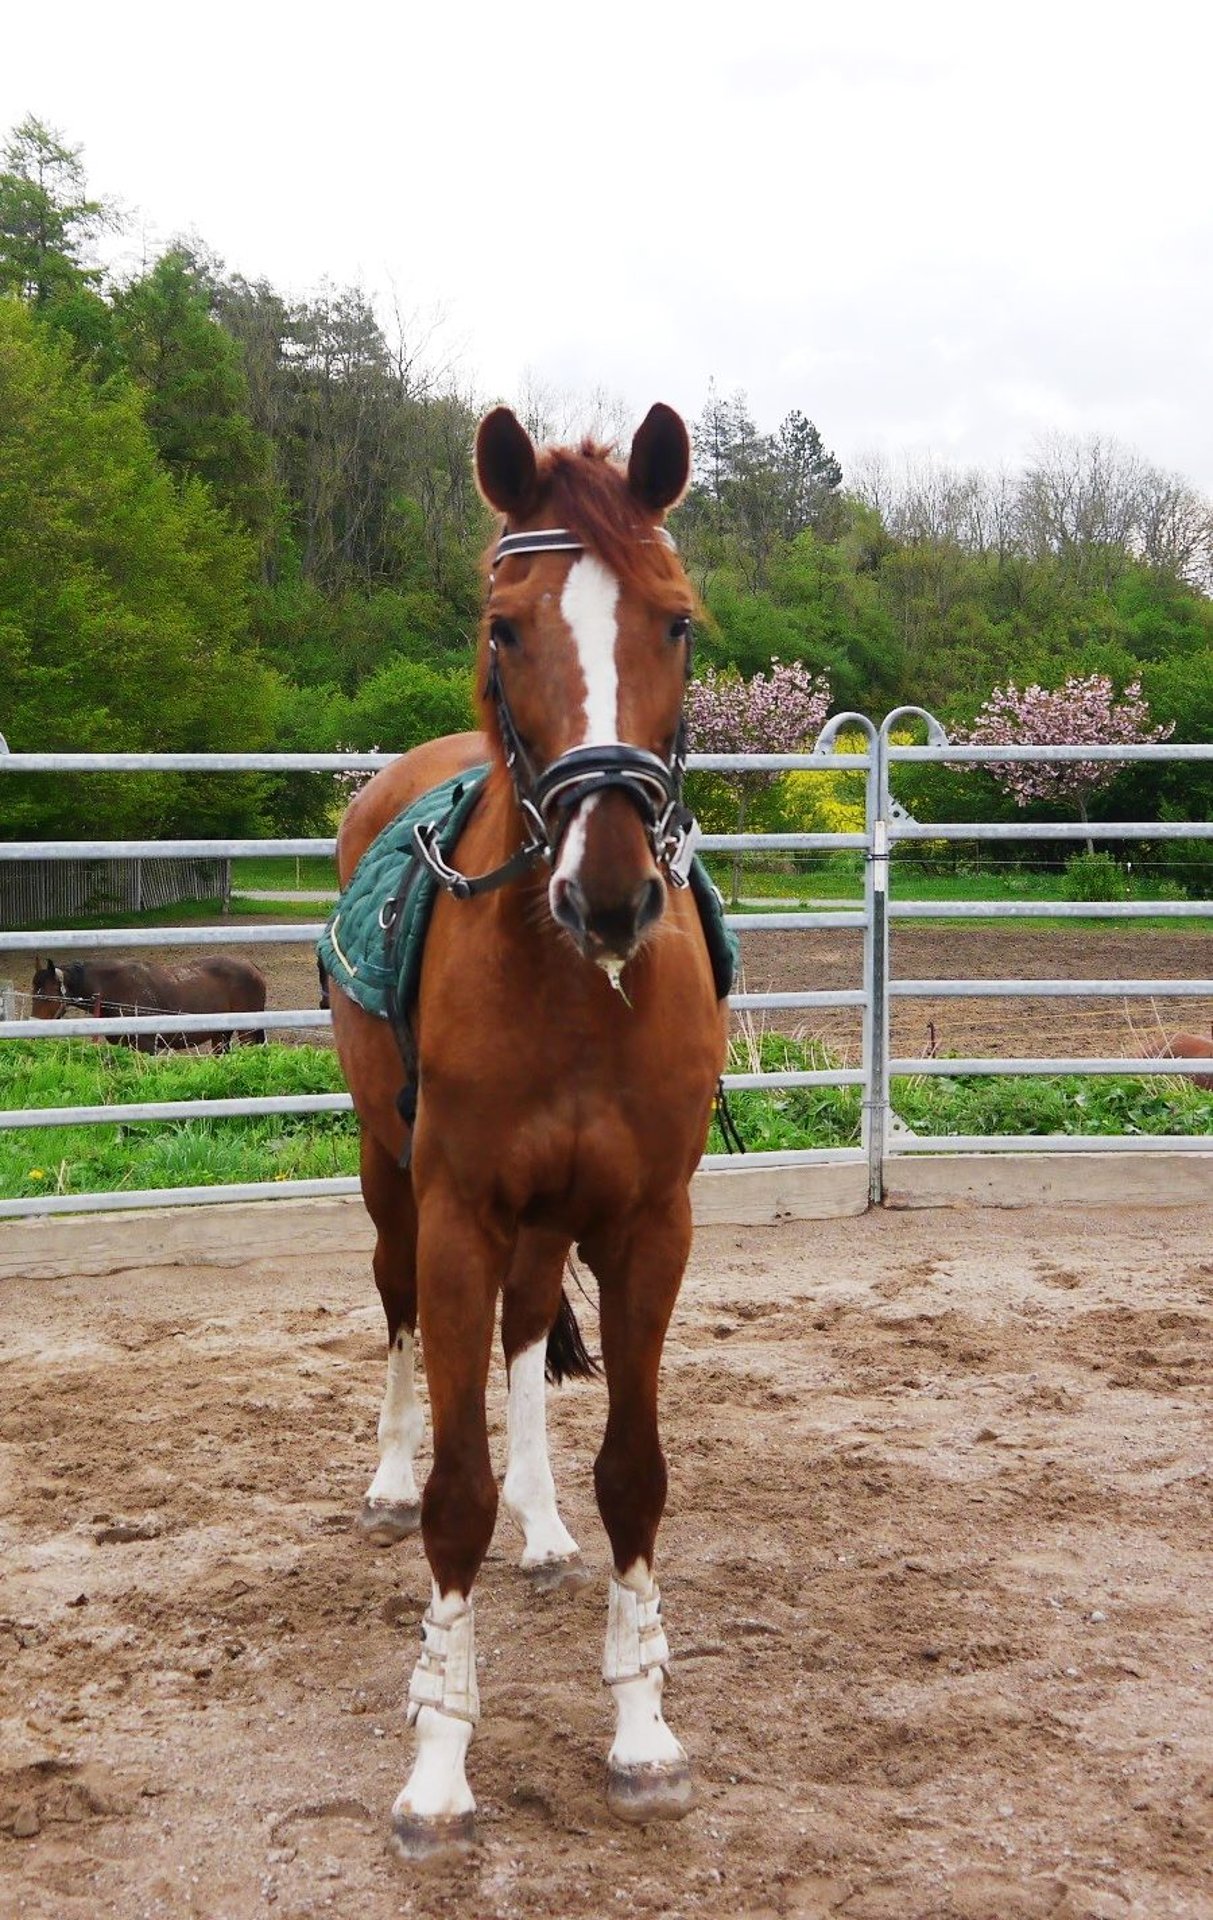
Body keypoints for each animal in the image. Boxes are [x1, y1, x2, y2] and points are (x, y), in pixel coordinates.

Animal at [30, 955, 268, 1051]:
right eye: (33, 993)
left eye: (47, 995)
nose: (33, 1024)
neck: (114, 989)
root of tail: (252, 967)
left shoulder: (146, 1046)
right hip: (221, 1035)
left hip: (247, 1033)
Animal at [328, 403, 728, 1857]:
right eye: (506, 628)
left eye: (675, 621)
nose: (606, 893)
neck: (571, 983)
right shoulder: (456, 1213)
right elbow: (455, 1491)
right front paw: (439, 1763)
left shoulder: (647, 1224)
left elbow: (634, 1472)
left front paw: (646, 1731)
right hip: (388, 1177)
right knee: (397, 1311)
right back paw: (387, 1477)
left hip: (551, 1219)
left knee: (521, 1337)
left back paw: (544, 1529)